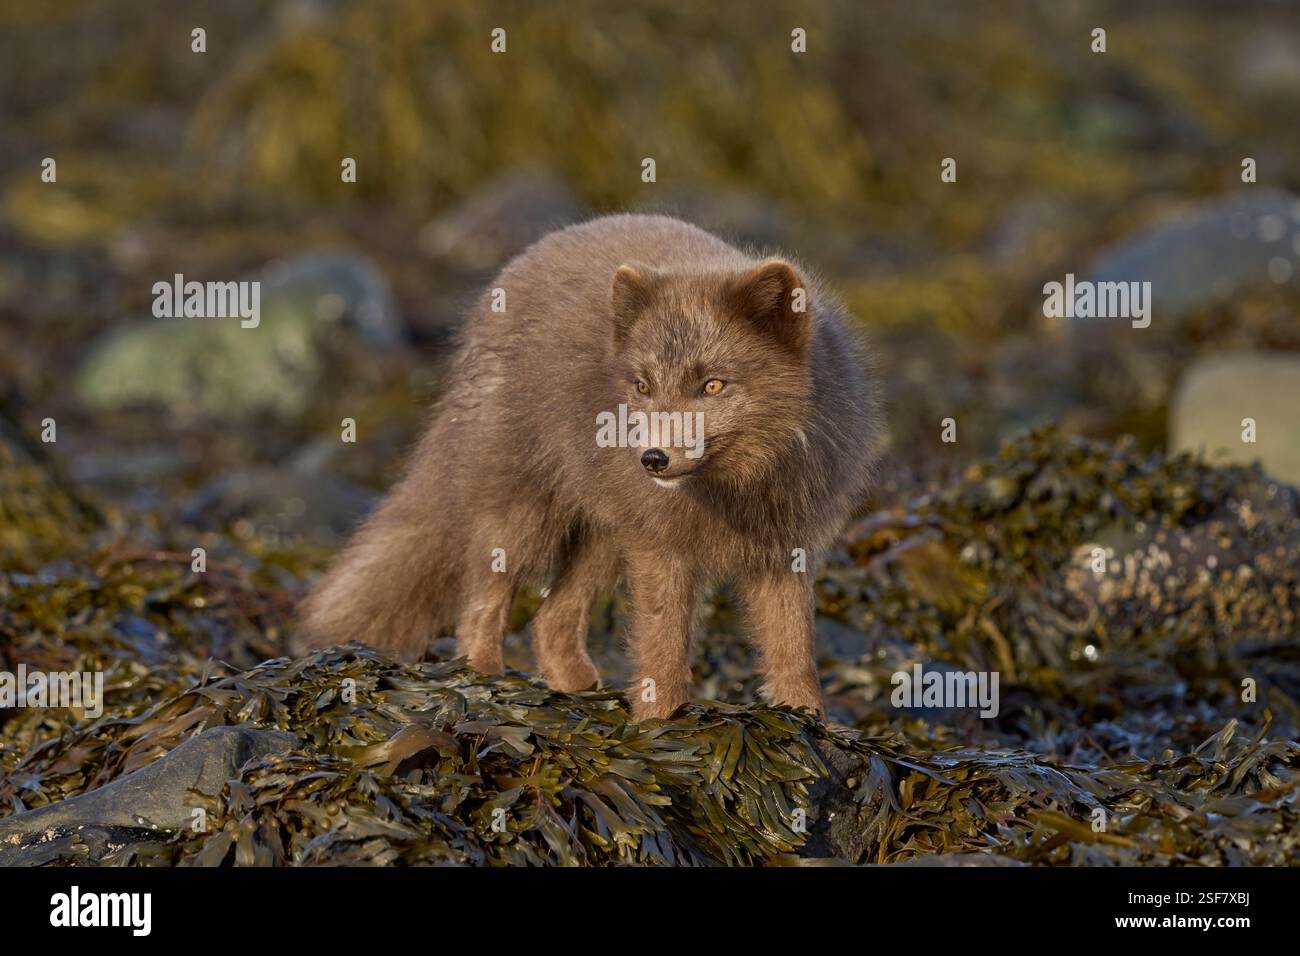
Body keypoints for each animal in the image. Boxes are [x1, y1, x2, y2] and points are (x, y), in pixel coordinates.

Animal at [294, 214, 881, 720]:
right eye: (643, 386)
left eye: (712, 385)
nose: (652, 459)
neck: (741, 488)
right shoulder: (661, 548)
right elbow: (663, 652)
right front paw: (660, 726)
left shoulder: (785, 550)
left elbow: (794, 651)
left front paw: (808, 723)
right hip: (526, 516)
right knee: (482, 602)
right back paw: (483, 684)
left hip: (605, 538)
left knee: (549, 621)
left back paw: (576, 693)